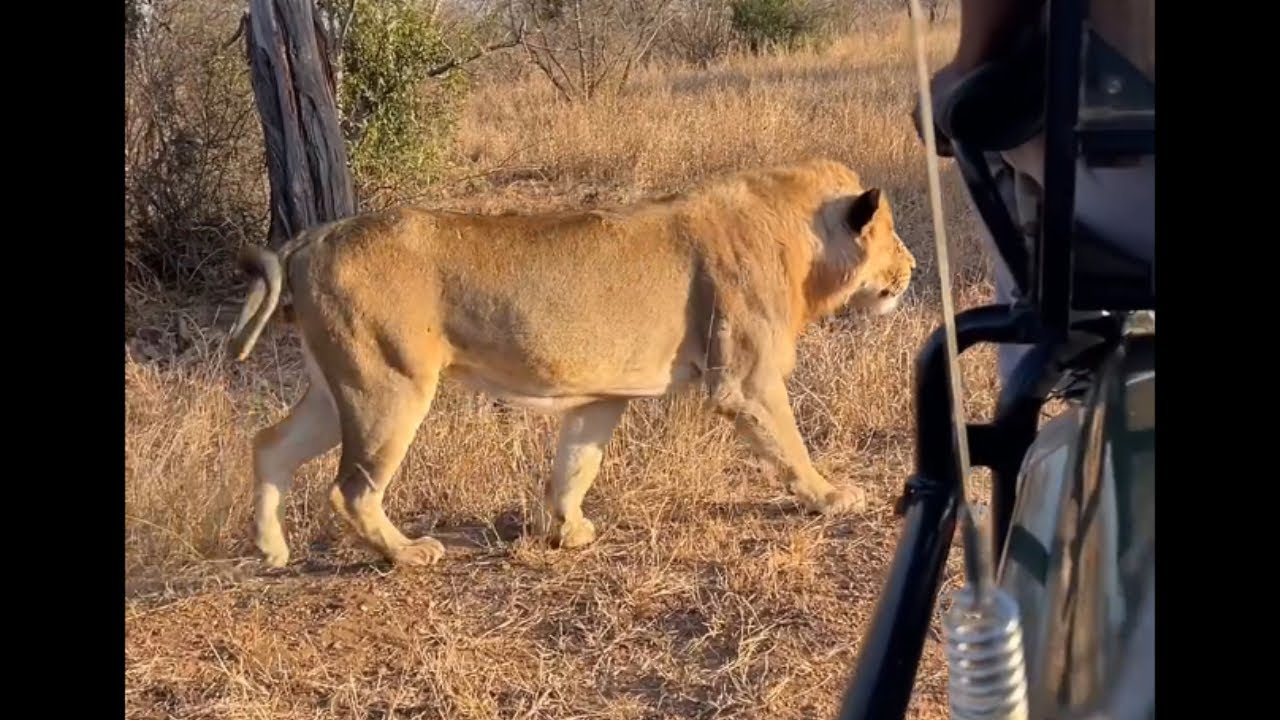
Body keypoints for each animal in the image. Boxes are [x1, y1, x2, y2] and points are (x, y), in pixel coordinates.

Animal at [228, 158, 916, 569]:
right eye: (891, 234)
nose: (911, 268)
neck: (797, 239)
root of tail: (311, 237)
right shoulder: (745, 382)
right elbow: (791, 445)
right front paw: (832, 496)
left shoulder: (602, 394)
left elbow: (577, 465)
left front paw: (567, 531)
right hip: (388, 387)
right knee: (348, 489)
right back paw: (408, 553)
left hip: (339, 386)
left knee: (269, 444)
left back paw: (271, 549)